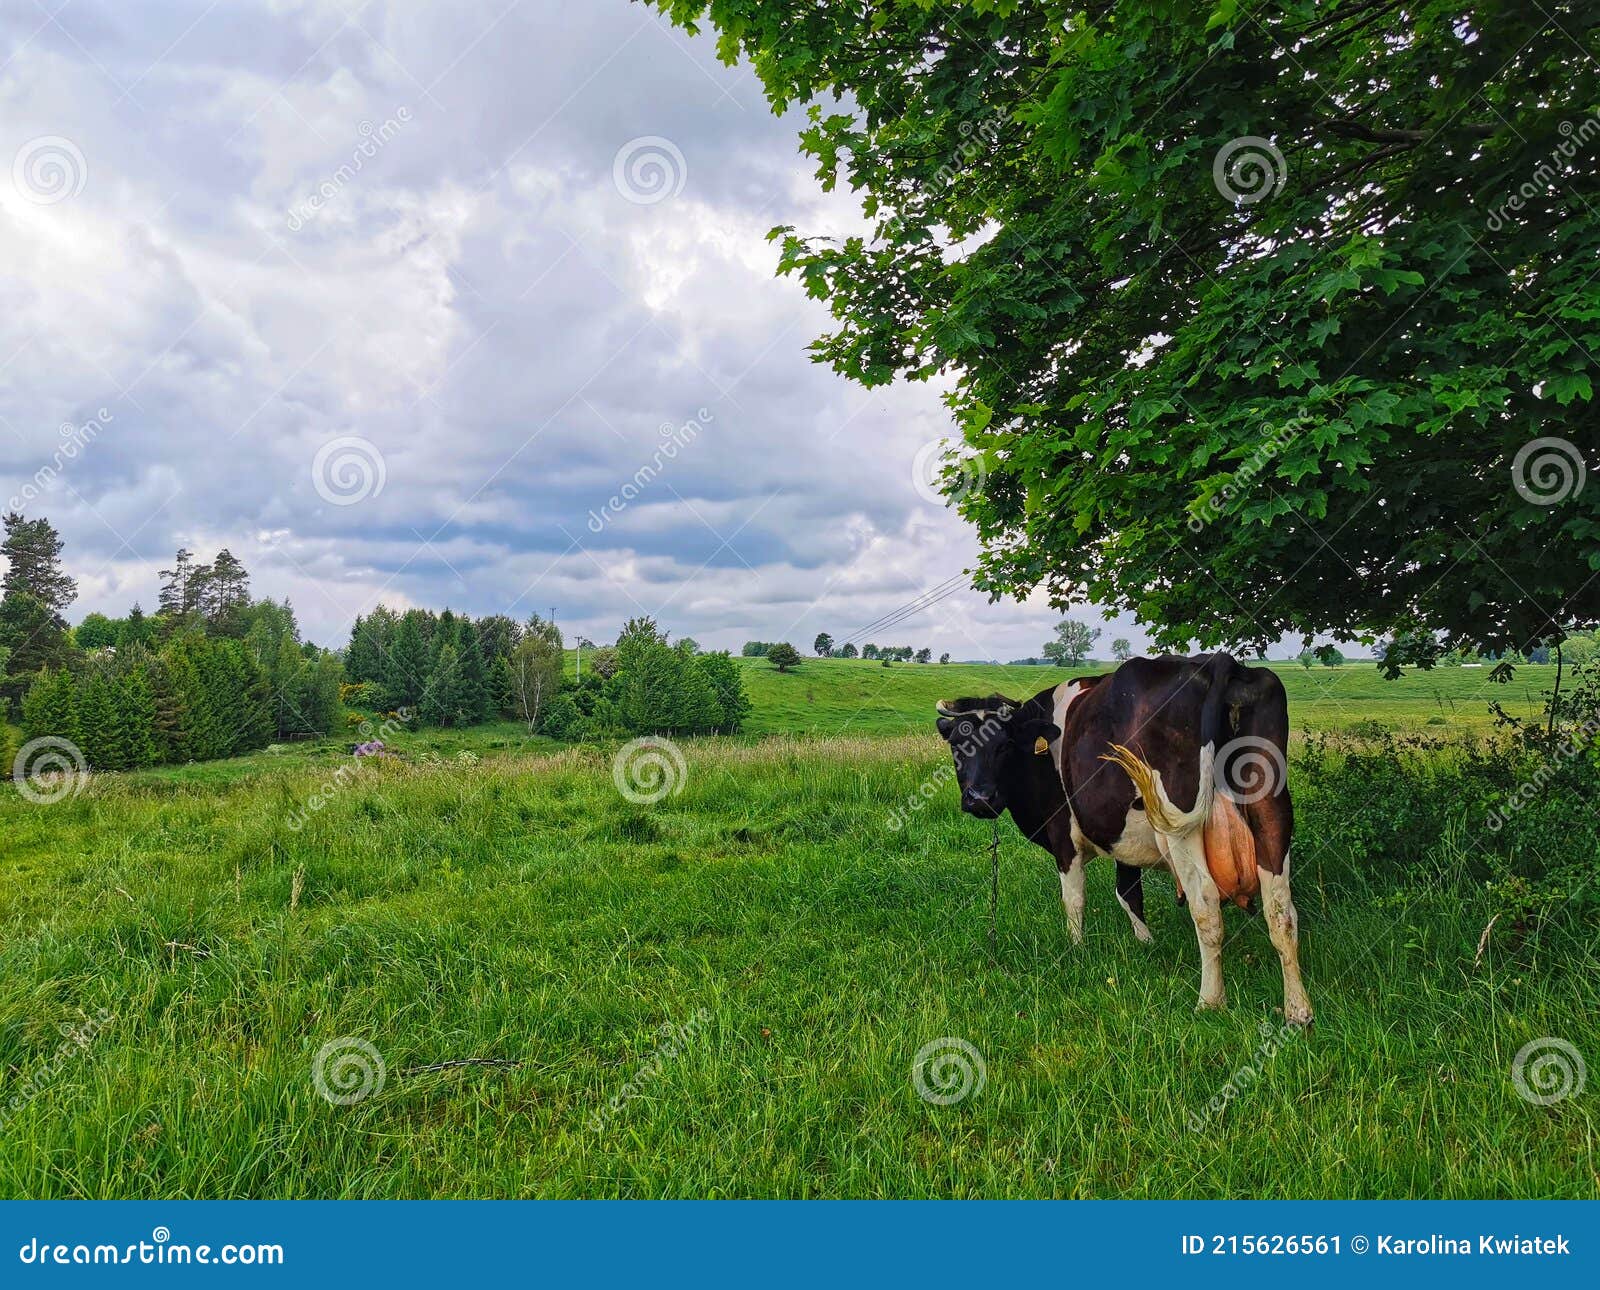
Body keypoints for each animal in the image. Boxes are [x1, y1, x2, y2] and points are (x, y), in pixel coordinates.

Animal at [935, 652, 1312, 1025]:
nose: (980, 798)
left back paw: (1210, 1001)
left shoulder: (1063, 836)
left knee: (1206, 908)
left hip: (1182, 826)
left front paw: (1077, 949)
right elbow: (1128, 893)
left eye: (1005, 745)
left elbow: (1074, 899)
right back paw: (1298, 1010)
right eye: (957, 746)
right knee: (1281, 908)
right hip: (1271, 810)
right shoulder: (1121, 838)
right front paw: (1145, 943)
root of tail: (1217, 661)